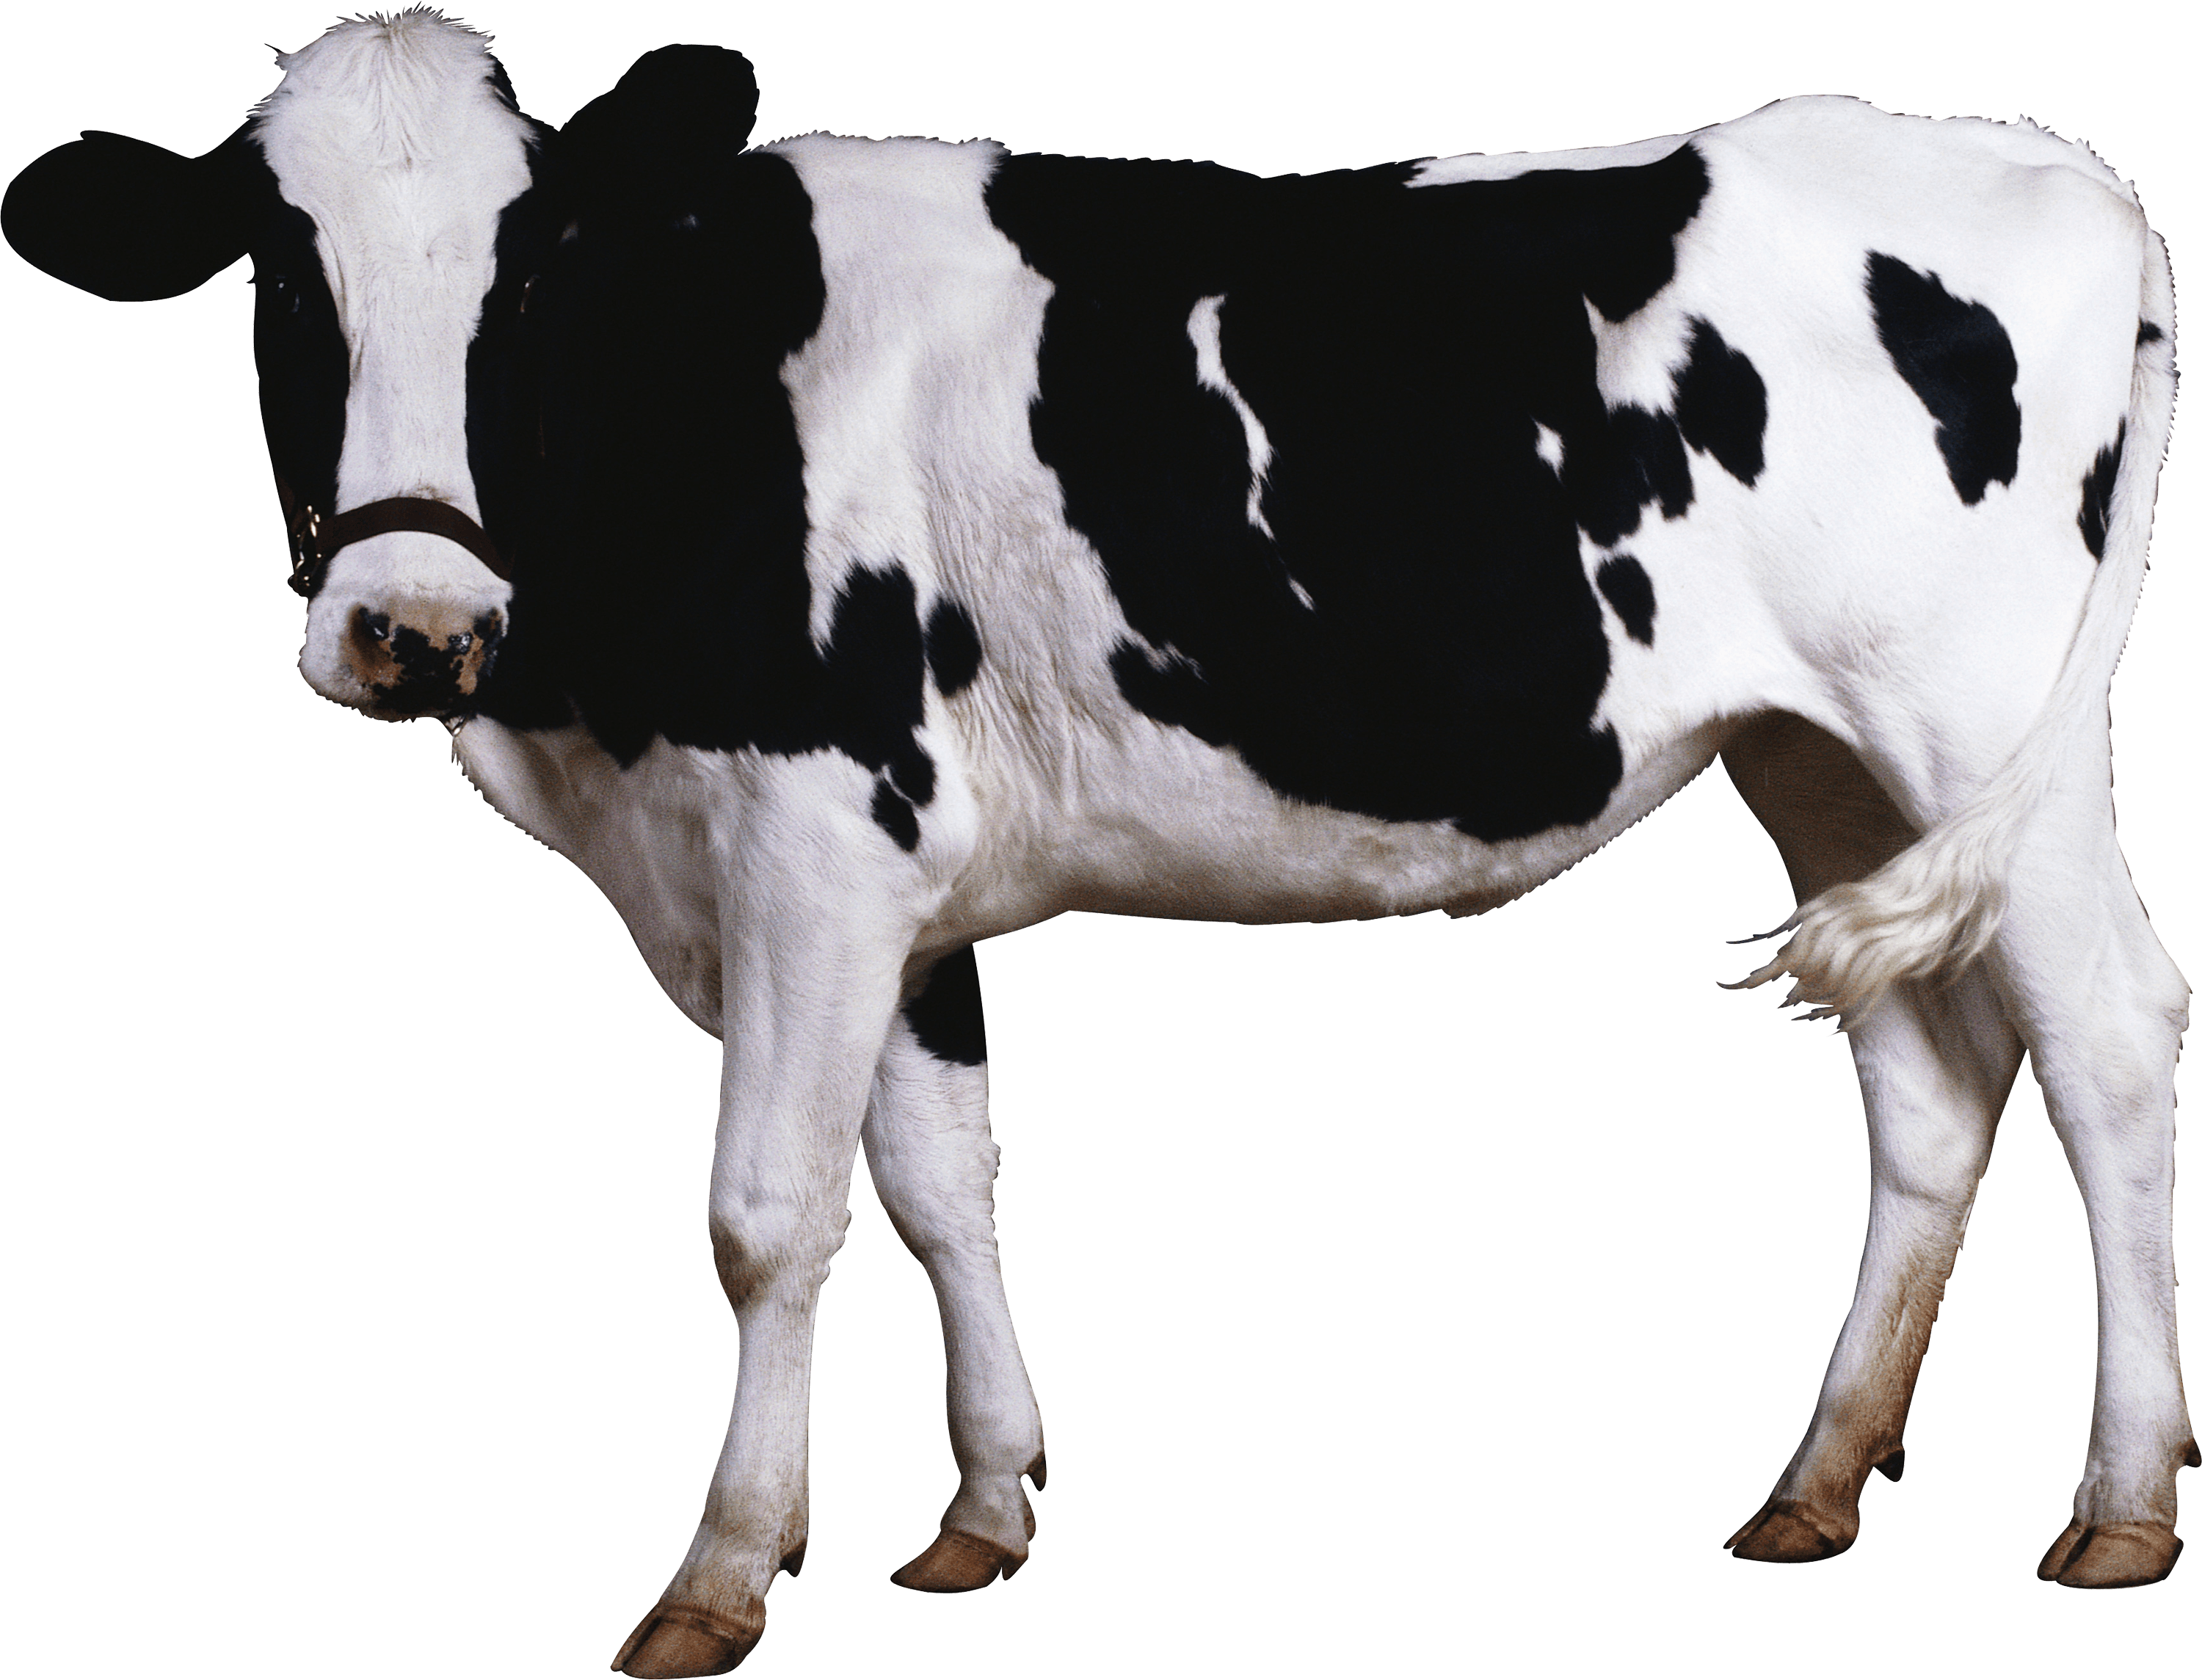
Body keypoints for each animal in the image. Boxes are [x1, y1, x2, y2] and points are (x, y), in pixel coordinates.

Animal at [4, 11, 2191, 1675]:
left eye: (529, 271)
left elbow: (767, 1216)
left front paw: (717, 1575)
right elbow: (936, 1179)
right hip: (1815, 755)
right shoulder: (895, 882)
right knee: (1931, 1073)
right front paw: (979, 1507)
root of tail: (2038, 158)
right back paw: (1816, 1480)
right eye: (280, 275)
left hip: (1980, 722)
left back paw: (2119, 1503)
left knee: (2106, 1032)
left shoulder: (812, 841)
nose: (414, 627)